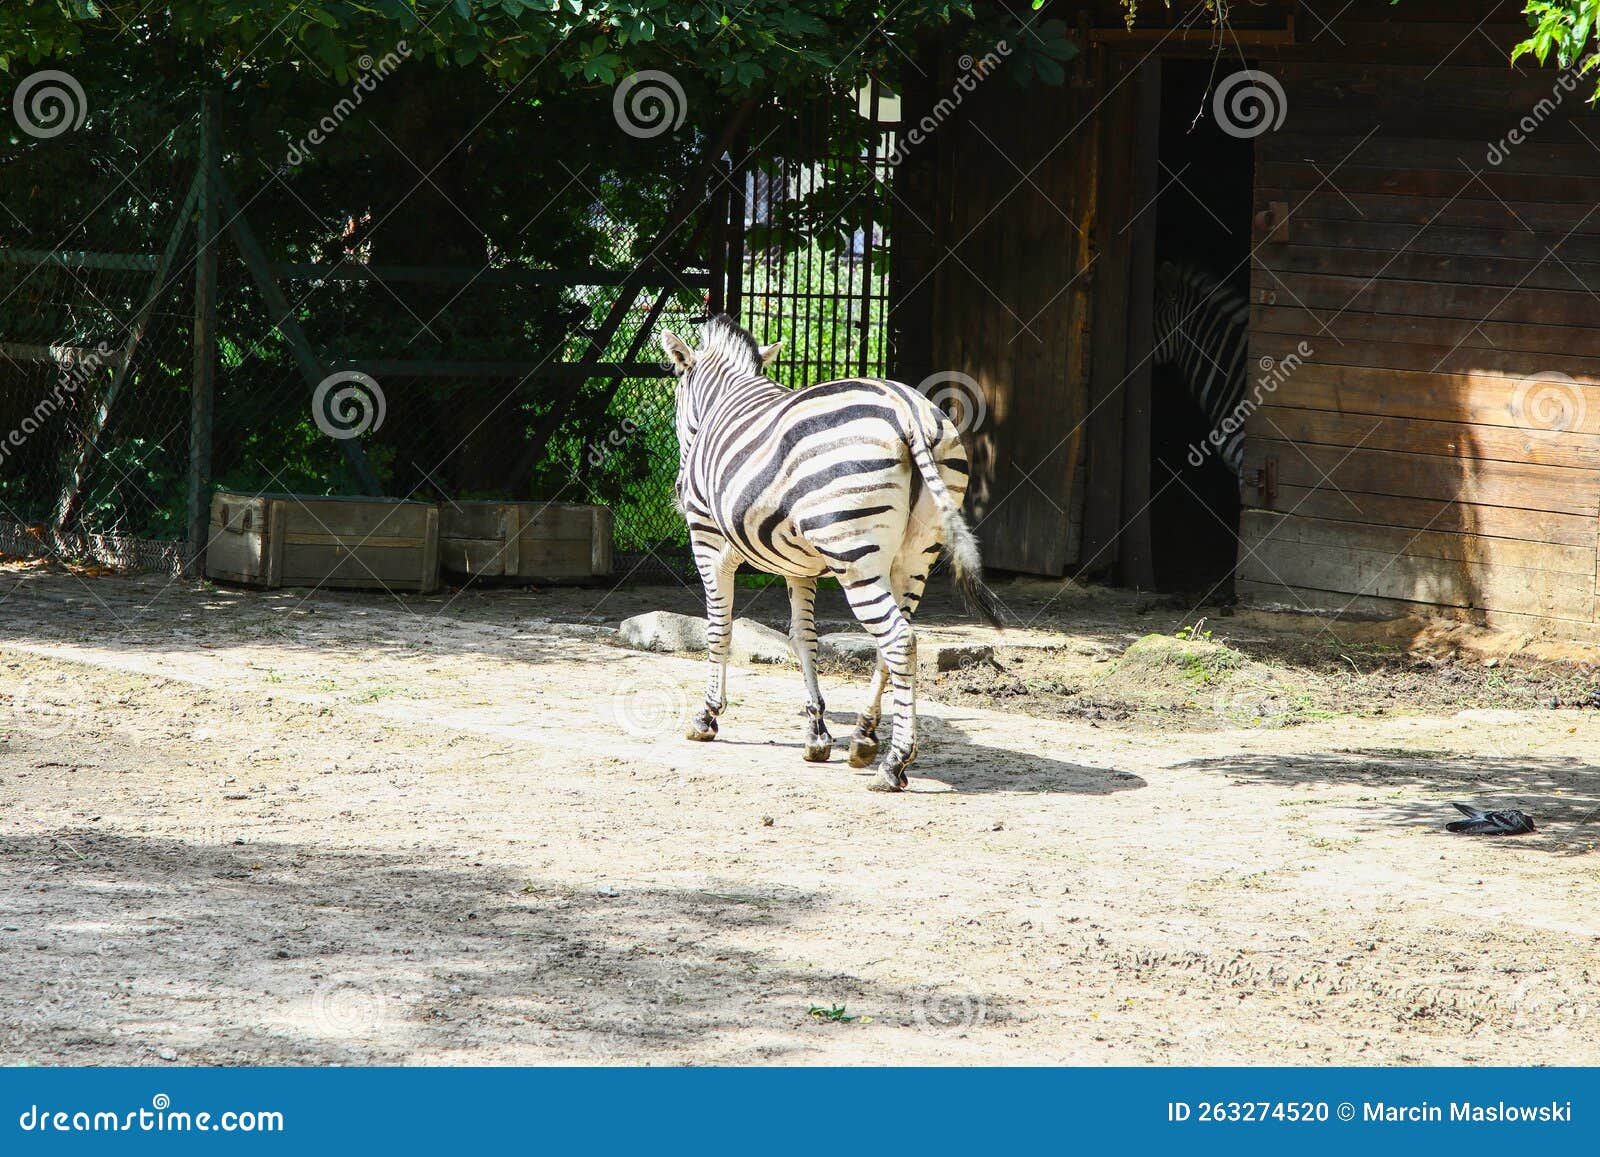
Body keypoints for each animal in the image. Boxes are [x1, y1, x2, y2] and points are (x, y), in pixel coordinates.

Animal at [660, 314, 1003, 793]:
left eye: (676, 392)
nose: (676, 488)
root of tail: (909, 411)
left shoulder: (707, 539)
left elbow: (718, 629)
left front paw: (707, 716)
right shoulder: (797, 564)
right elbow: (804, 638)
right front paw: (817, 734)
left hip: (854, 554)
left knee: (898, 639)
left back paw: (893, 764)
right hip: (915, 556)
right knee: (894, 642)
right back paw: (863, 738)